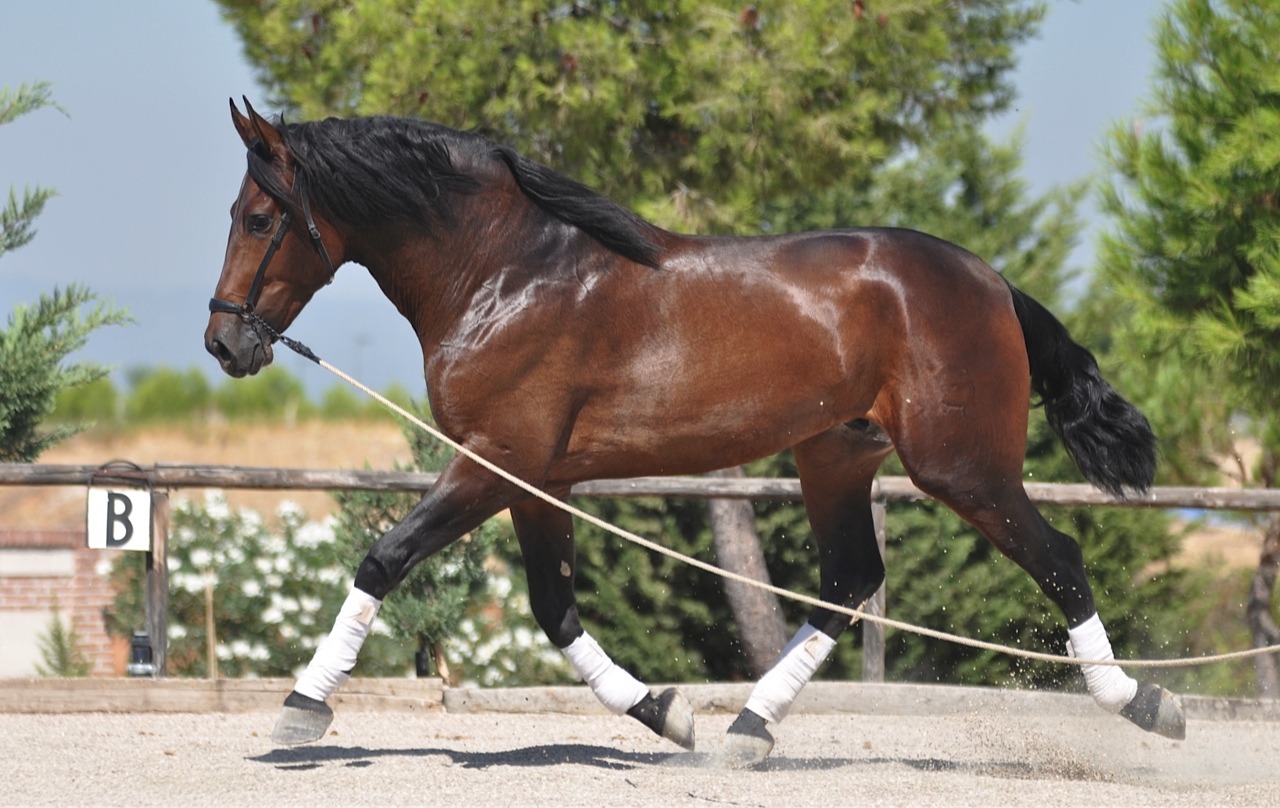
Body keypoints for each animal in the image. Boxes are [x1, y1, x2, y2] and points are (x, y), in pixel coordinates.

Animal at [205, 99, 1185, 765]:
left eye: (258, 218)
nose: (223, 343)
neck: (507, 273)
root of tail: (990, 282)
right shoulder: (539, 481)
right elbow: (555, 608)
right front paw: (669, 714)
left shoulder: (493, 462)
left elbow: (385, 559)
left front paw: (301, 708)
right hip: (836, 455)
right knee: (848, 581)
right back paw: (747, 729)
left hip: (962, 469)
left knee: (1057, 558)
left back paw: (1146, 704)